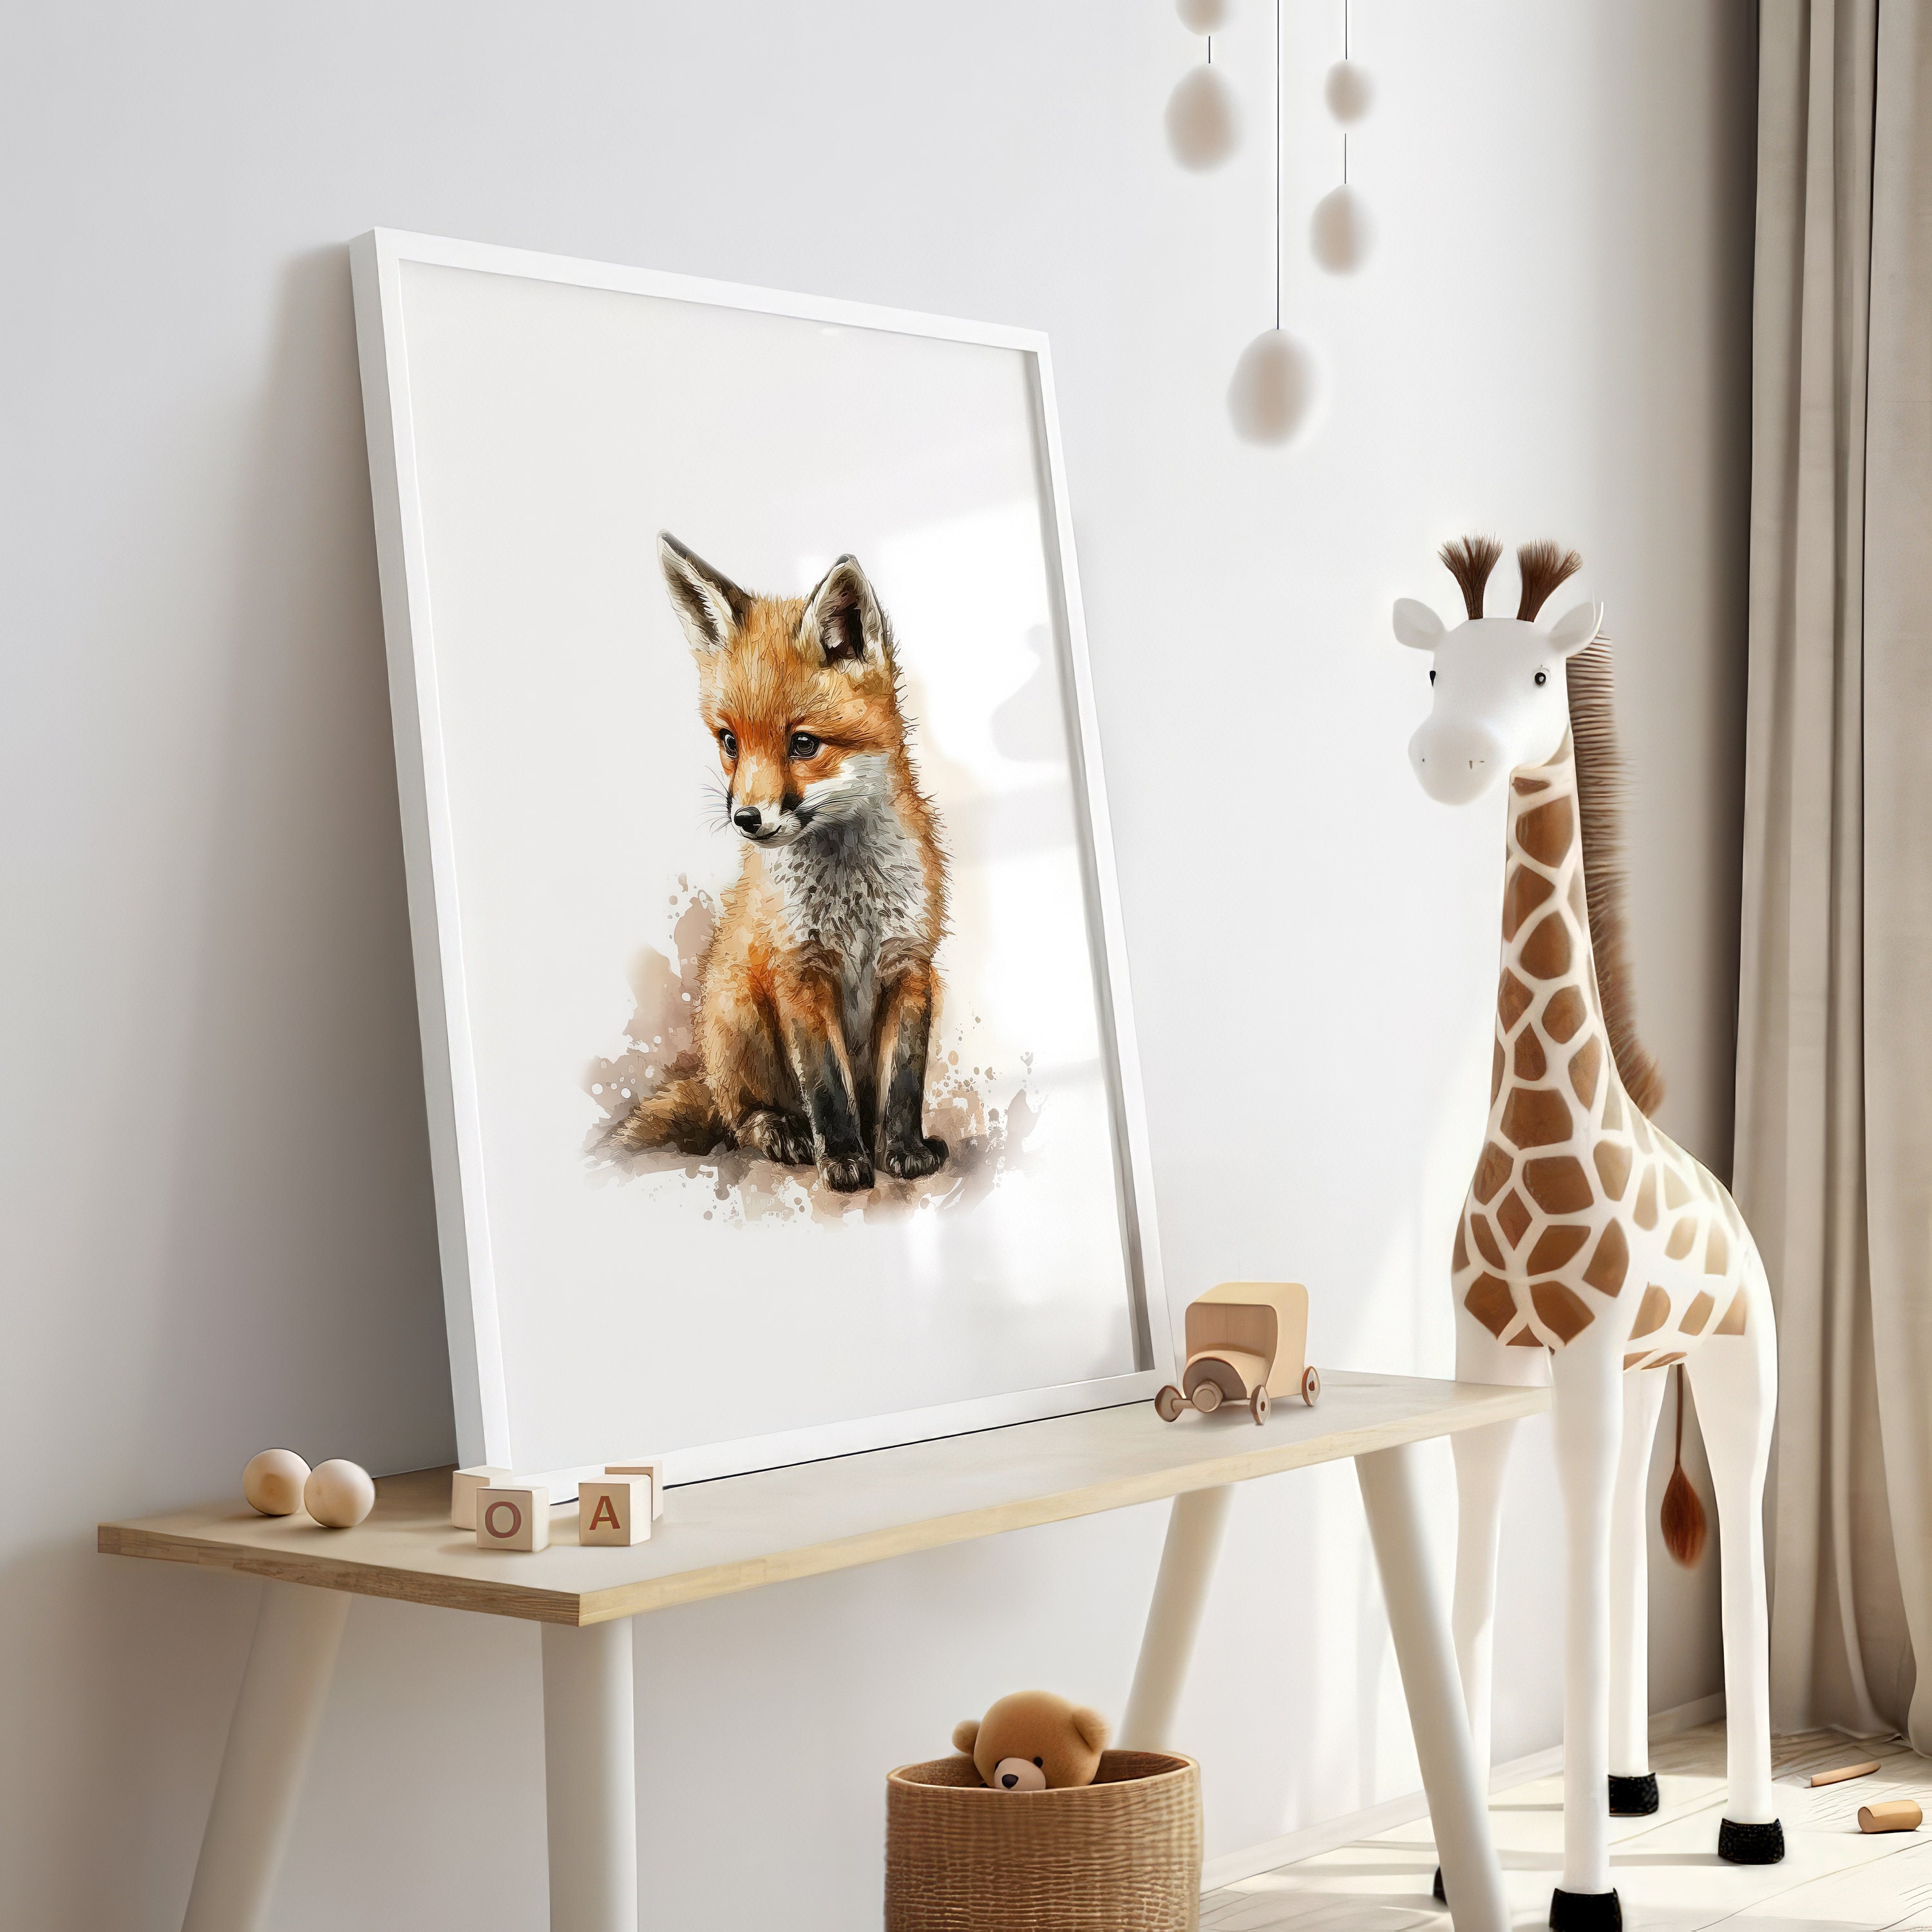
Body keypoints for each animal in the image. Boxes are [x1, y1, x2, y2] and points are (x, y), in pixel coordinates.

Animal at [609, 532, 950, 1193]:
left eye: (804, 744)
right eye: (729, 742)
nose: (746, 818)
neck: (853, 901)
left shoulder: (911, 966)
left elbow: (903, 1082)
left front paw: (902, 1150)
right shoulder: (800, 973)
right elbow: (827, 1088)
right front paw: (843, 1160)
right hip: (738, 1011)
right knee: (740, 1116)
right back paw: (782, 1132)